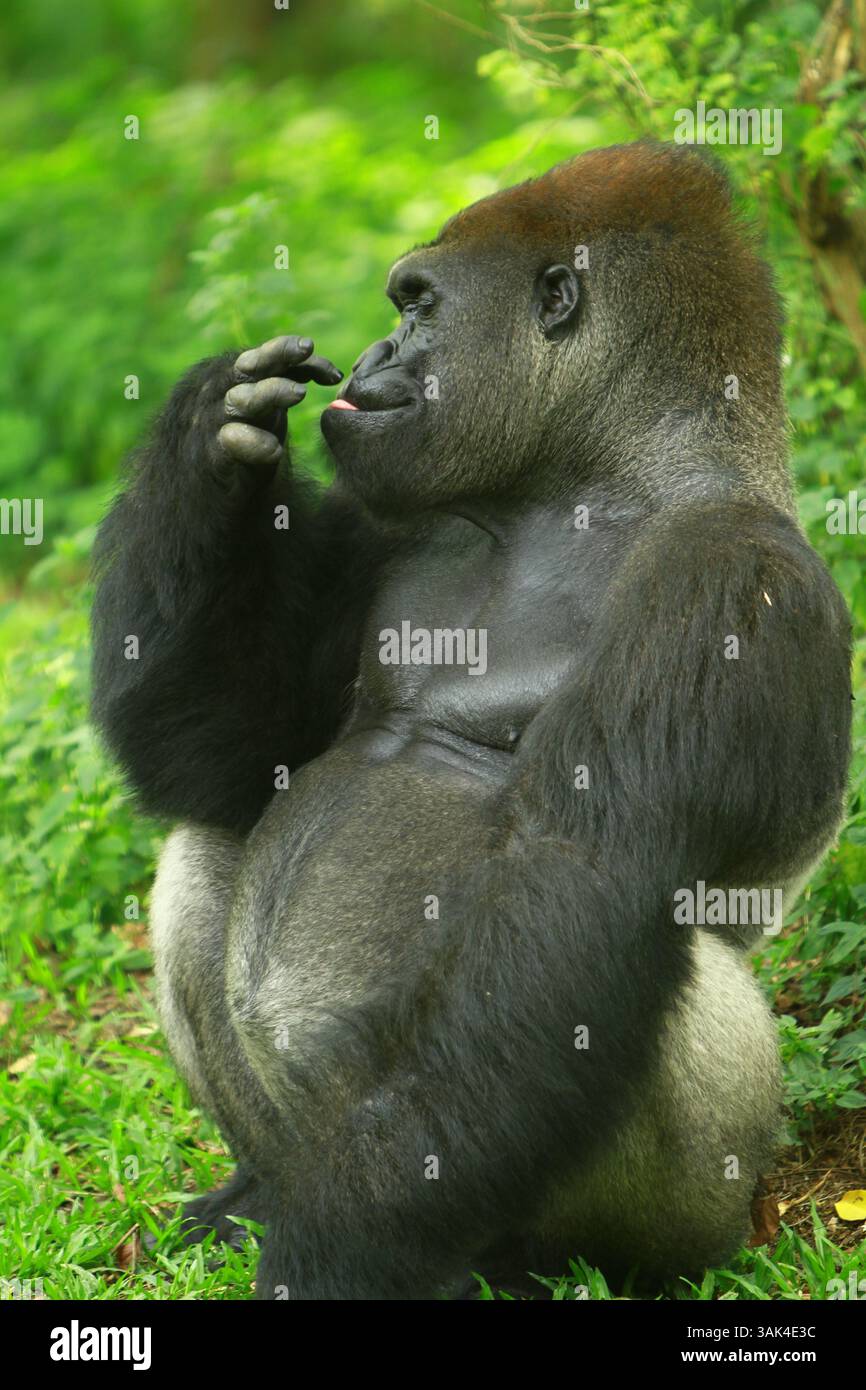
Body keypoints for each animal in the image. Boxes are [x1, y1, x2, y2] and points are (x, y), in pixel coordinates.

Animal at [91, 141, 852, 1299]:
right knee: (206, 839)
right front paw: (211, 445)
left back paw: (509, 1266)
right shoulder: (386, 508)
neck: (584, 485)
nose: (374, 349)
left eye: (418, 303)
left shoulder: (720, 581)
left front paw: (329, 1260)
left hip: (686, 1202)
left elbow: (574, 879)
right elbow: (234, 761)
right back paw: (261, 1192)